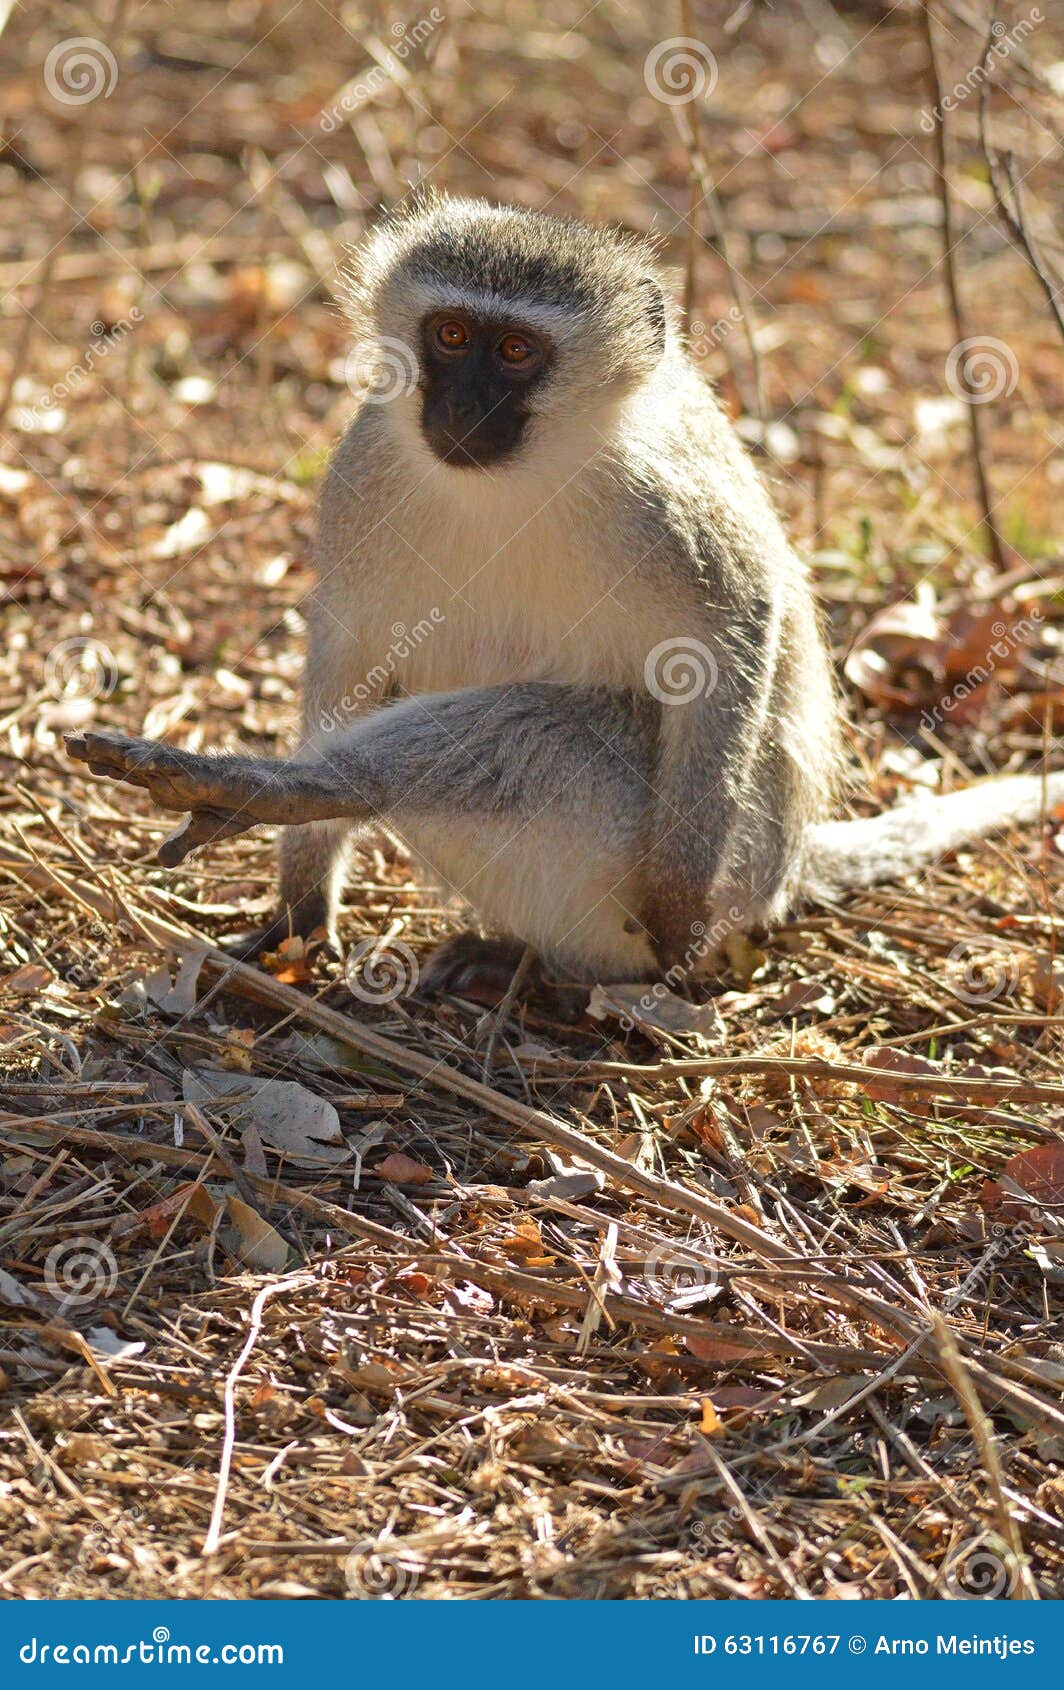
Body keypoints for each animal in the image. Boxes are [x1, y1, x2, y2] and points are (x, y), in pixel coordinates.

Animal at [67, 196, 1064, 995]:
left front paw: (678, 898)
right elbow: (351, 649)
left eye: (517, 351)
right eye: (452, 336)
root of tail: (780, 880)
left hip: (707, 848)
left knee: (530, 738)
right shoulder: (363, 473)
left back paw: (268, 789)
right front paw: (304, 898)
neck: (512, 481)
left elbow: (732, 633)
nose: (460, 409)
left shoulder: (664, 506)